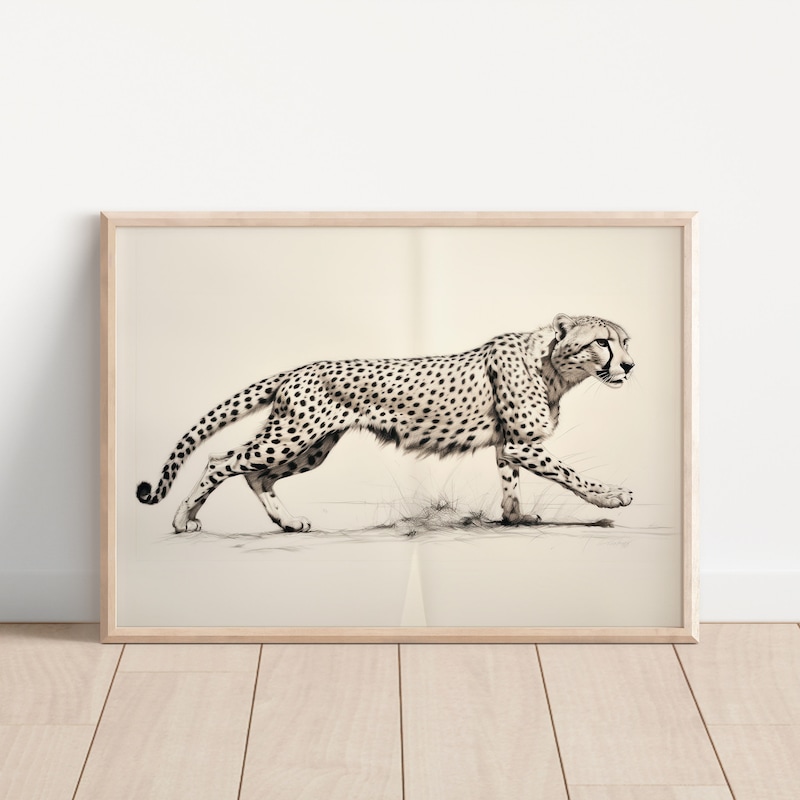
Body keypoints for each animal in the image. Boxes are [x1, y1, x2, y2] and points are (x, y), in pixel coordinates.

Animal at [137, 313, 635, 533]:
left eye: (626, 341)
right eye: (602, 343)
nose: (630, 366)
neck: (552, 365)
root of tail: (299, 368)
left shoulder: (509, 444)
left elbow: (510, 485)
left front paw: (515, 518)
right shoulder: (521, 444)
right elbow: (570, 474)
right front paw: (612, 496)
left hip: (313, 447)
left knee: (257, 475)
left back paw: (288, 522)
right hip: (292, 436)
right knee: (222, 459)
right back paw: (182, 519)